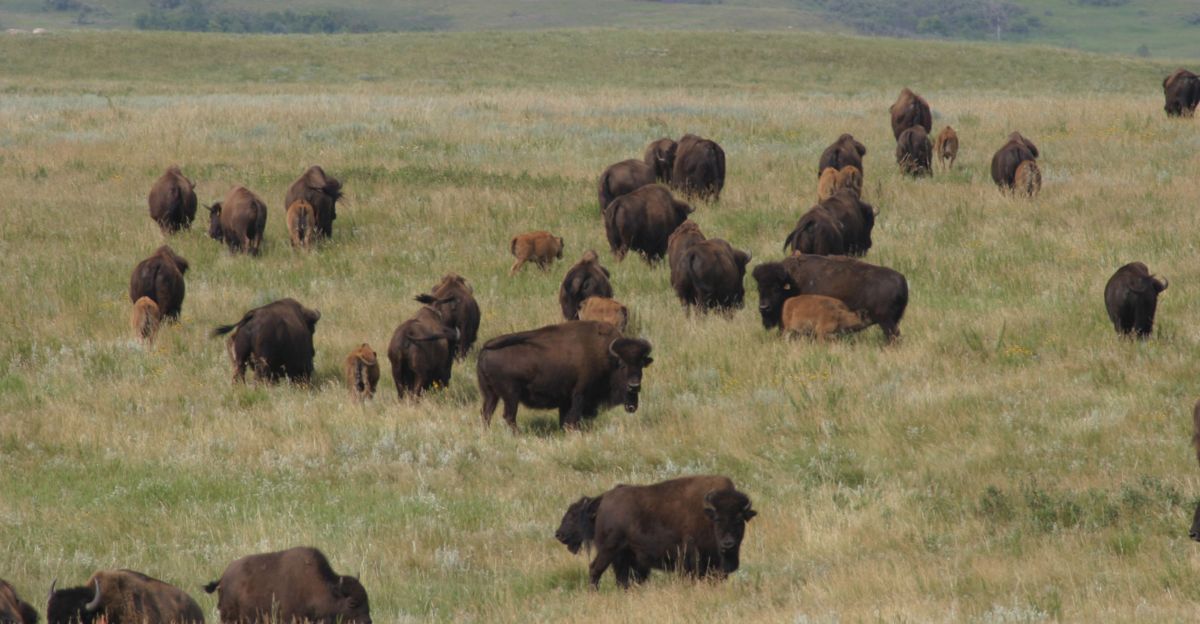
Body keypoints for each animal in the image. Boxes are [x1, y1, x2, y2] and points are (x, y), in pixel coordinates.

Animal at [476, 321, 652, 431]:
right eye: (622, 365)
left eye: (641, 365)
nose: (634, 386)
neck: (606, 356)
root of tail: (485, 350)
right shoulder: (580, 395)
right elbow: (572, 420)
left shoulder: (566, 400)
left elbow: (564, 420)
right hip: (511, 395)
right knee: (509, 416)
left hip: (490, 393)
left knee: (486, 413)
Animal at [555, 475, 755, 589]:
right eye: (717, 520)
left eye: (740, 520)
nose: (728, 544)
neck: (706, 513)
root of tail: (605, 498)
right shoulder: (692, 559)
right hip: (608, 550)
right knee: (595, 569)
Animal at [753, 254, 908, 342]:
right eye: (759, 288)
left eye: (776, 287)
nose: (764, 307)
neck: (792, 281)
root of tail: (902, 281)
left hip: (885, 320)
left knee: (893, 334)